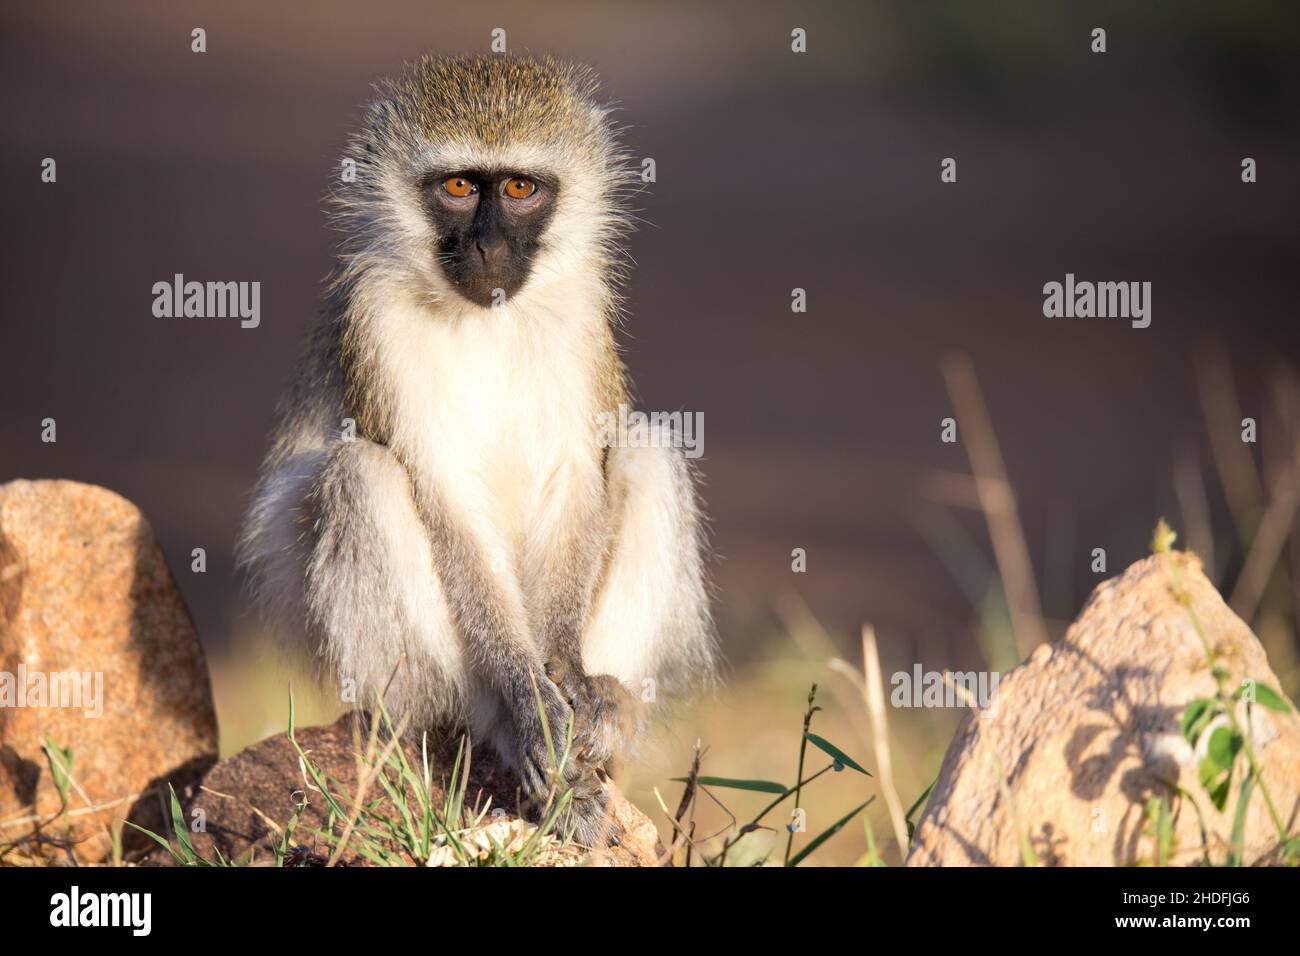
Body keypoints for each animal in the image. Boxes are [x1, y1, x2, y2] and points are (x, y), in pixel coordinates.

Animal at [236, 55, 716, 846]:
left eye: (520, 188)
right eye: (459, 187)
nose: (489, 247)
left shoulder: (581, 312)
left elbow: (576, 476)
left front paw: (568, 677)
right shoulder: (375, 320)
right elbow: (443, 498)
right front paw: (528, 701)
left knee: (647, 449)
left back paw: (608, 714)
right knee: (361, 473)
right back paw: (506, 734)